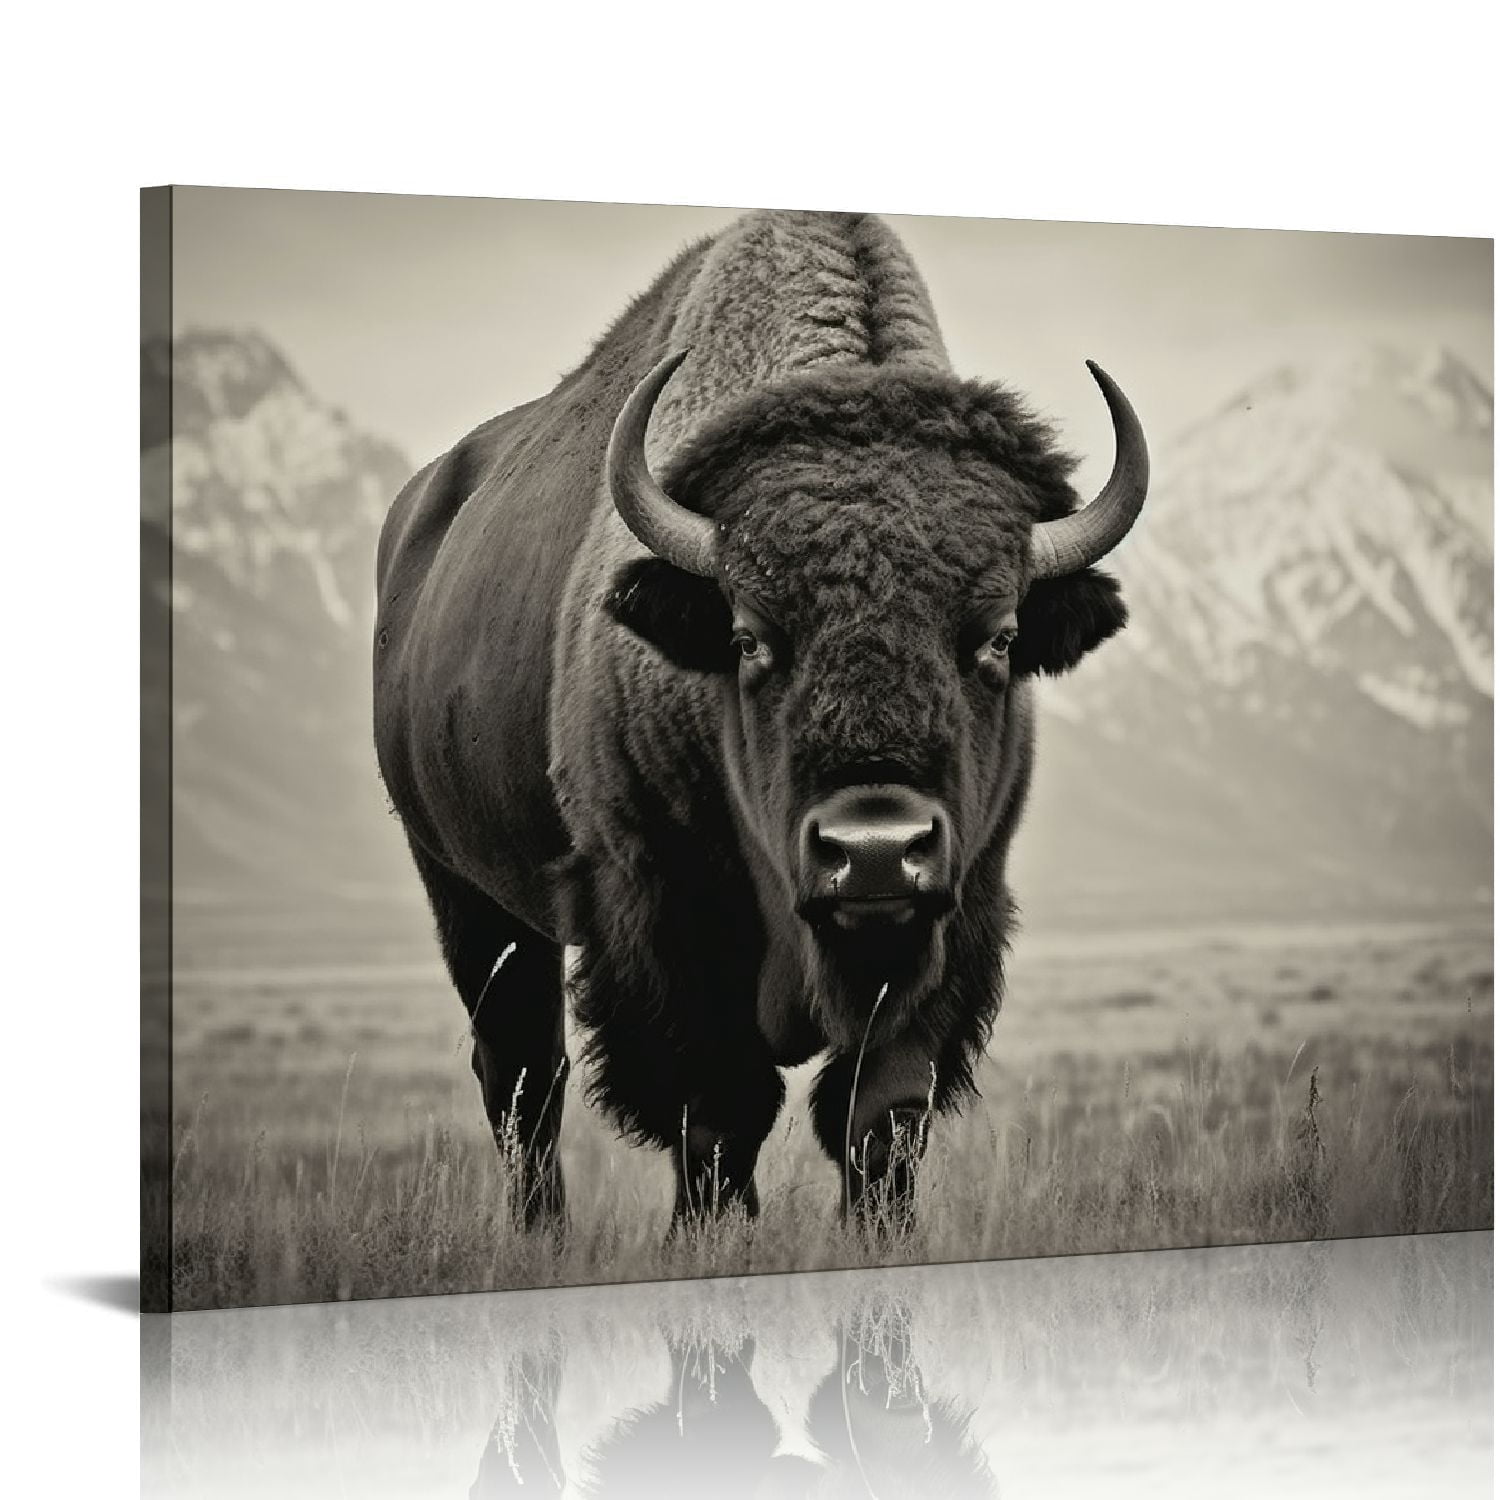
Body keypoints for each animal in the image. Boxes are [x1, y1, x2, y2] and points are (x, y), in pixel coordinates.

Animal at [373, 209, 1148, 1232]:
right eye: (748, 637)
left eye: (999, 638)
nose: (873, 852)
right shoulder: (665, 914)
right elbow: (718, 1108)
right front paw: (705, 1236)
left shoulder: (954, 913)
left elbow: (879, 1109)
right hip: (468, 896)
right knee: (522, 1076)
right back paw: (542, 1233)